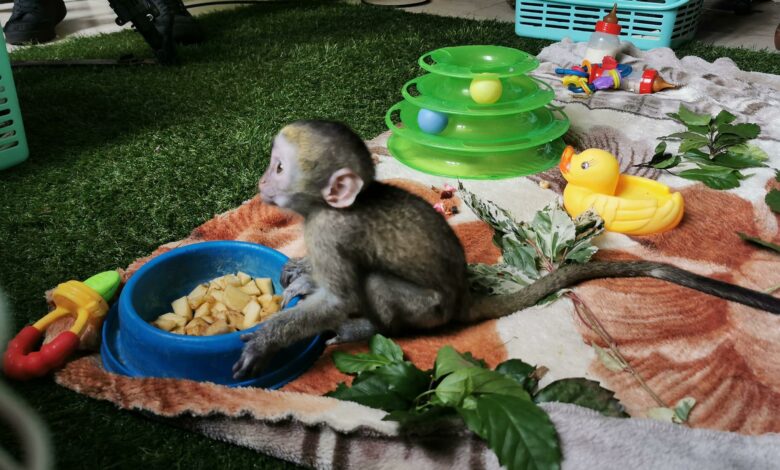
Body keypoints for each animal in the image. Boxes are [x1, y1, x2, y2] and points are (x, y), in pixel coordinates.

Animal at [232, 119, 780, 379]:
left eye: (279, 167)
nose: (261, 183)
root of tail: (460, 299)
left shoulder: (331, 228)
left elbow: (340, 297)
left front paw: (265, 341)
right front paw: (299, 273)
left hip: (428, 310)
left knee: (377, 288)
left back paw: (369, 329)